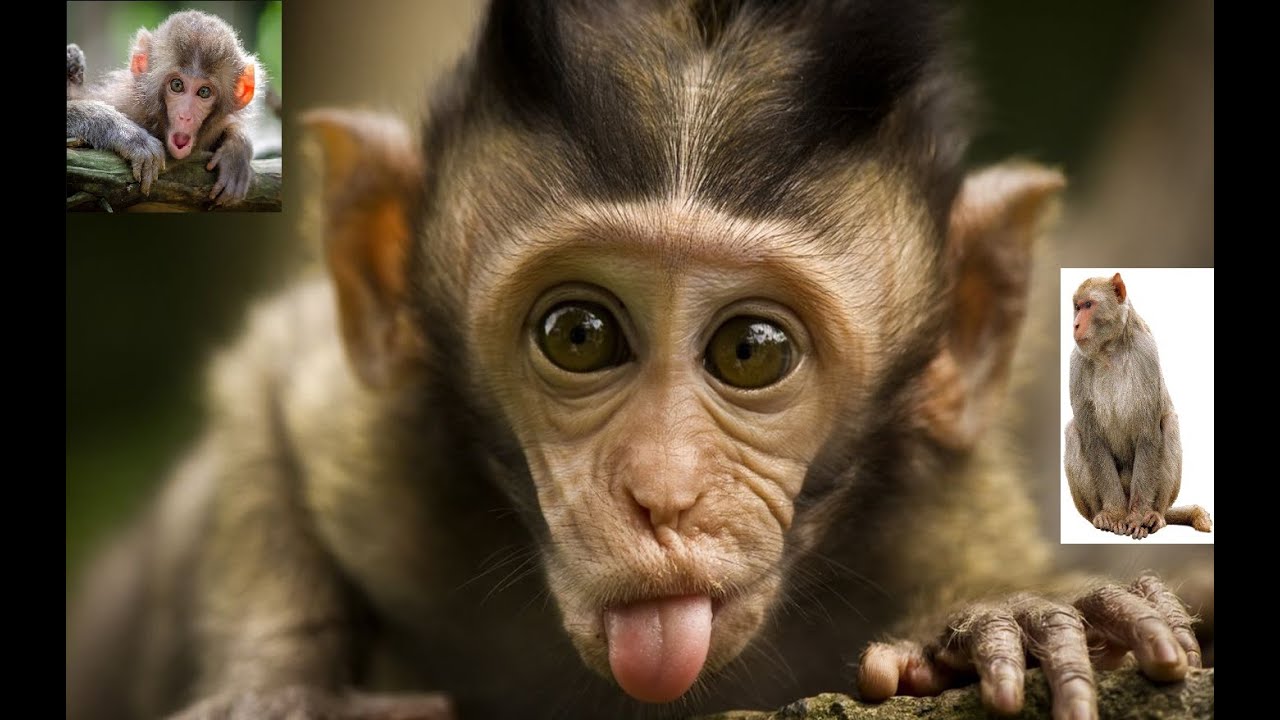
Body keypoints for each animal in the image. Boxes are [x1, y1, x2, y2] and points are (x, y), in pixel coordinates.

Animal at [1065, 273, 1212, 540]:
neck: (1110, 350)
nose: (1075, 325)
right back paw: (1101, 517)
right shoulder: (1076, 364)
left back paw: (1155, 516)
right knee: (1072, 431)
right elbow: (1093, 439)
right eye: (1077, 307)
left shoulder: (1147, 355)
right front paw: (1114, 515)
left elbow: (1148, 434)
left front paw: (1137, 517)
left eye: (1089, 305)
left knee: (1169, 423)